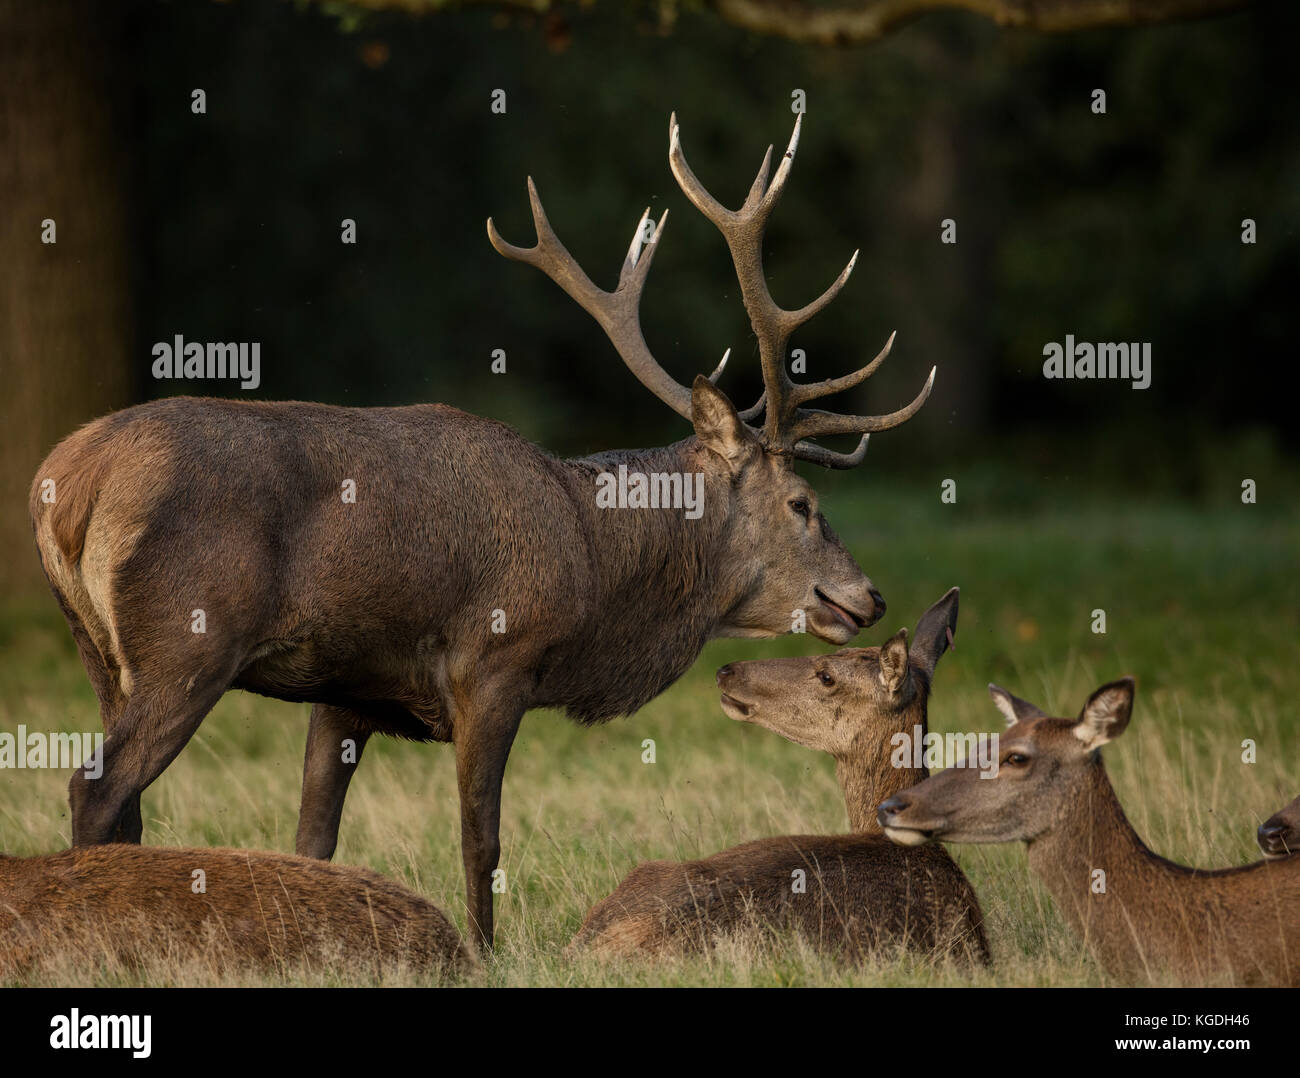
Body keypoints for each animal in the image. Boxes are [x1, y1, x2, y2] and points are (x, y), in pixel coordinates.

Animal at [29, 112, 934, 950]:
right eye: (802, 504)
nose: (869, 597)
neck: (595, 565)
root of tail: (65, 489)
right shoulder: (495, 661)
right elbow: (481, 839)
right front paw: (481, 950)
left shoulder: (347, 689)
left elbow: (314, 837)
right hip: (189, 638)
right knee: (96, 788)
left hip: (97, 649)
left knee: (125, 799)